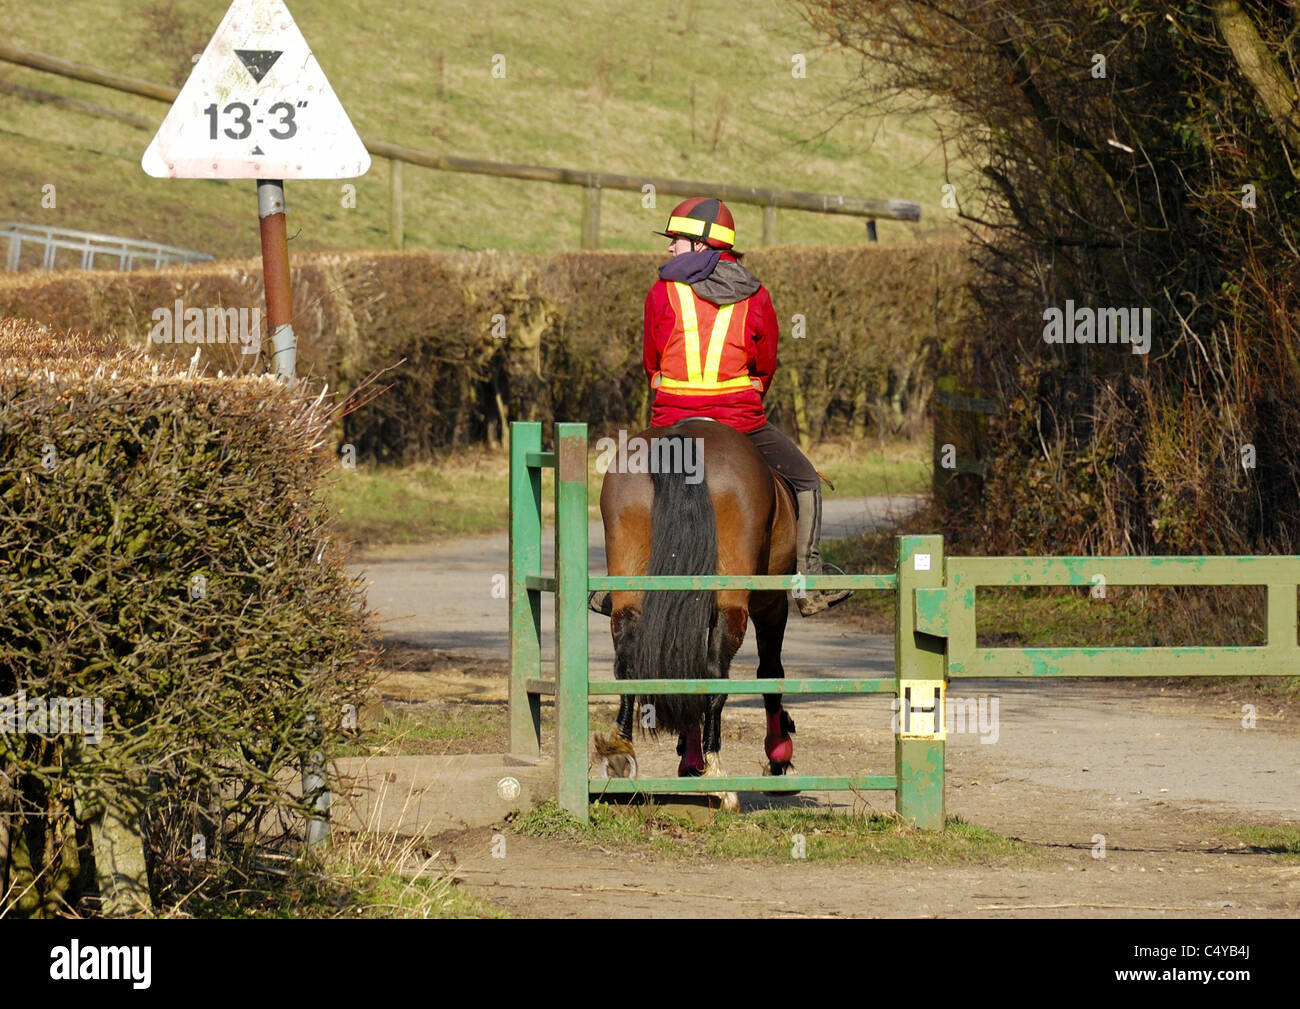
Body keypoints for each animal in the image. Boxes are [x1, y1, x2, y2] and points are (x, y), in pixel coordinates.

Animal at [591, 418, 800, 812]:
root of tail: (682, 437)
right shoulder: (772, 605)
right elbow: (770, 673)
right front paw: (778, 758)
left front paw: (689, 761)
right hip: (733, 603)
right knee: (717, 675)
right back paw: (719, 777)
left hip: (630, 586)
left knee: (627, 664)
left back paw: (621, 756)